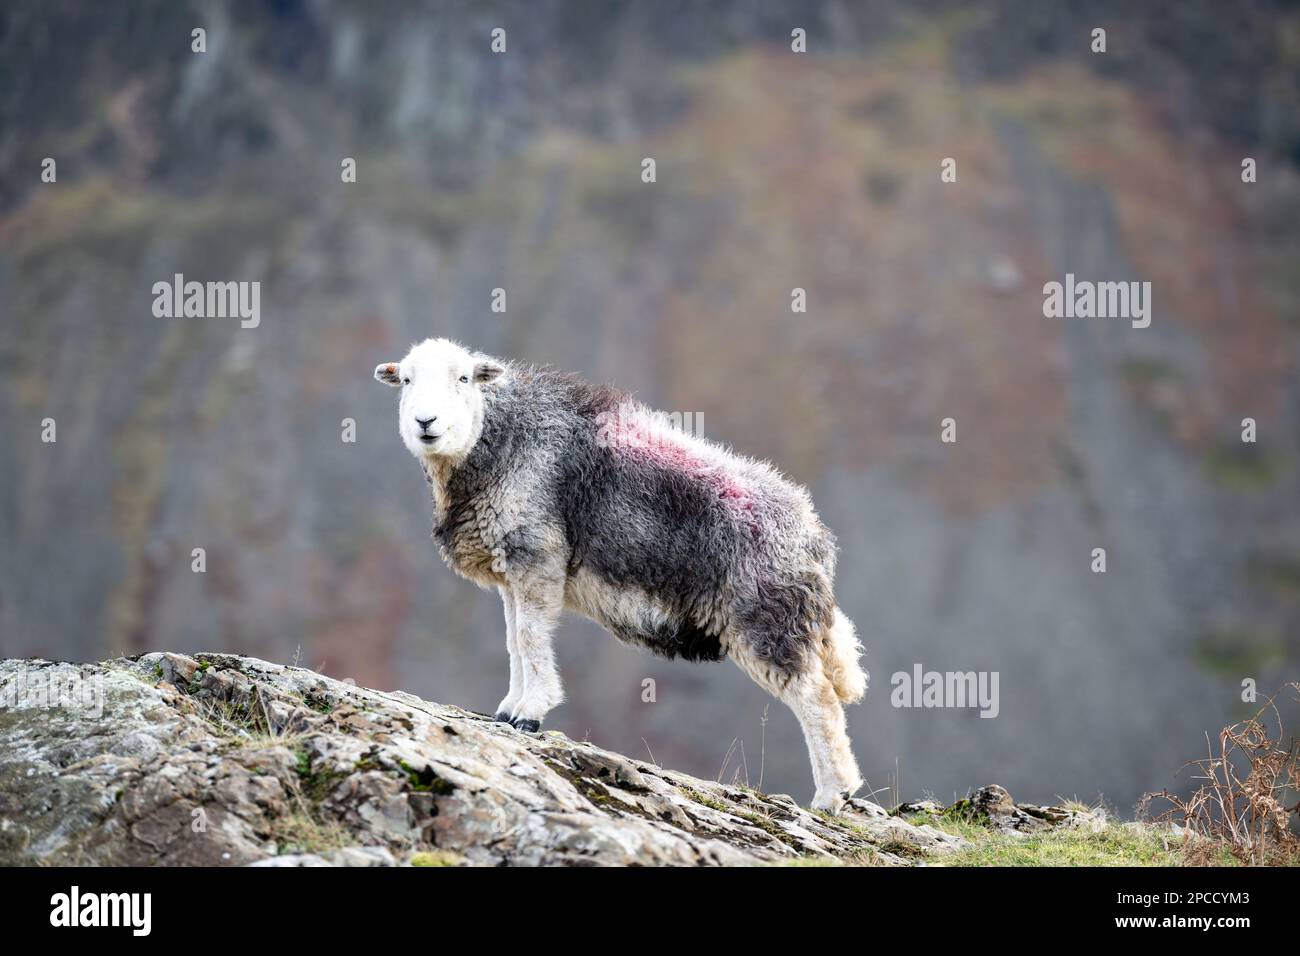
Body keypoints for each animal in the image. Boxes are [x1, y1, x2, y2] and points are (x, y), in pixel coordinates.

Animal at [374, 337, 867, 812]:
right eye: (406, 380)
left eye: (463, 378)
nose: (425, 422)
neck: (502, 440)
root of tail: (812, 533)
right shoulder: (512, 569)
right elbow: (515, 640)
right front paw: (510, 710)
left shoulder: (537, 554)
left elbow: (531, 638)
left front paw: (531, 711)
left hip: (766, 614)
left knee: (817, 698)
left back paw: (833, 795)